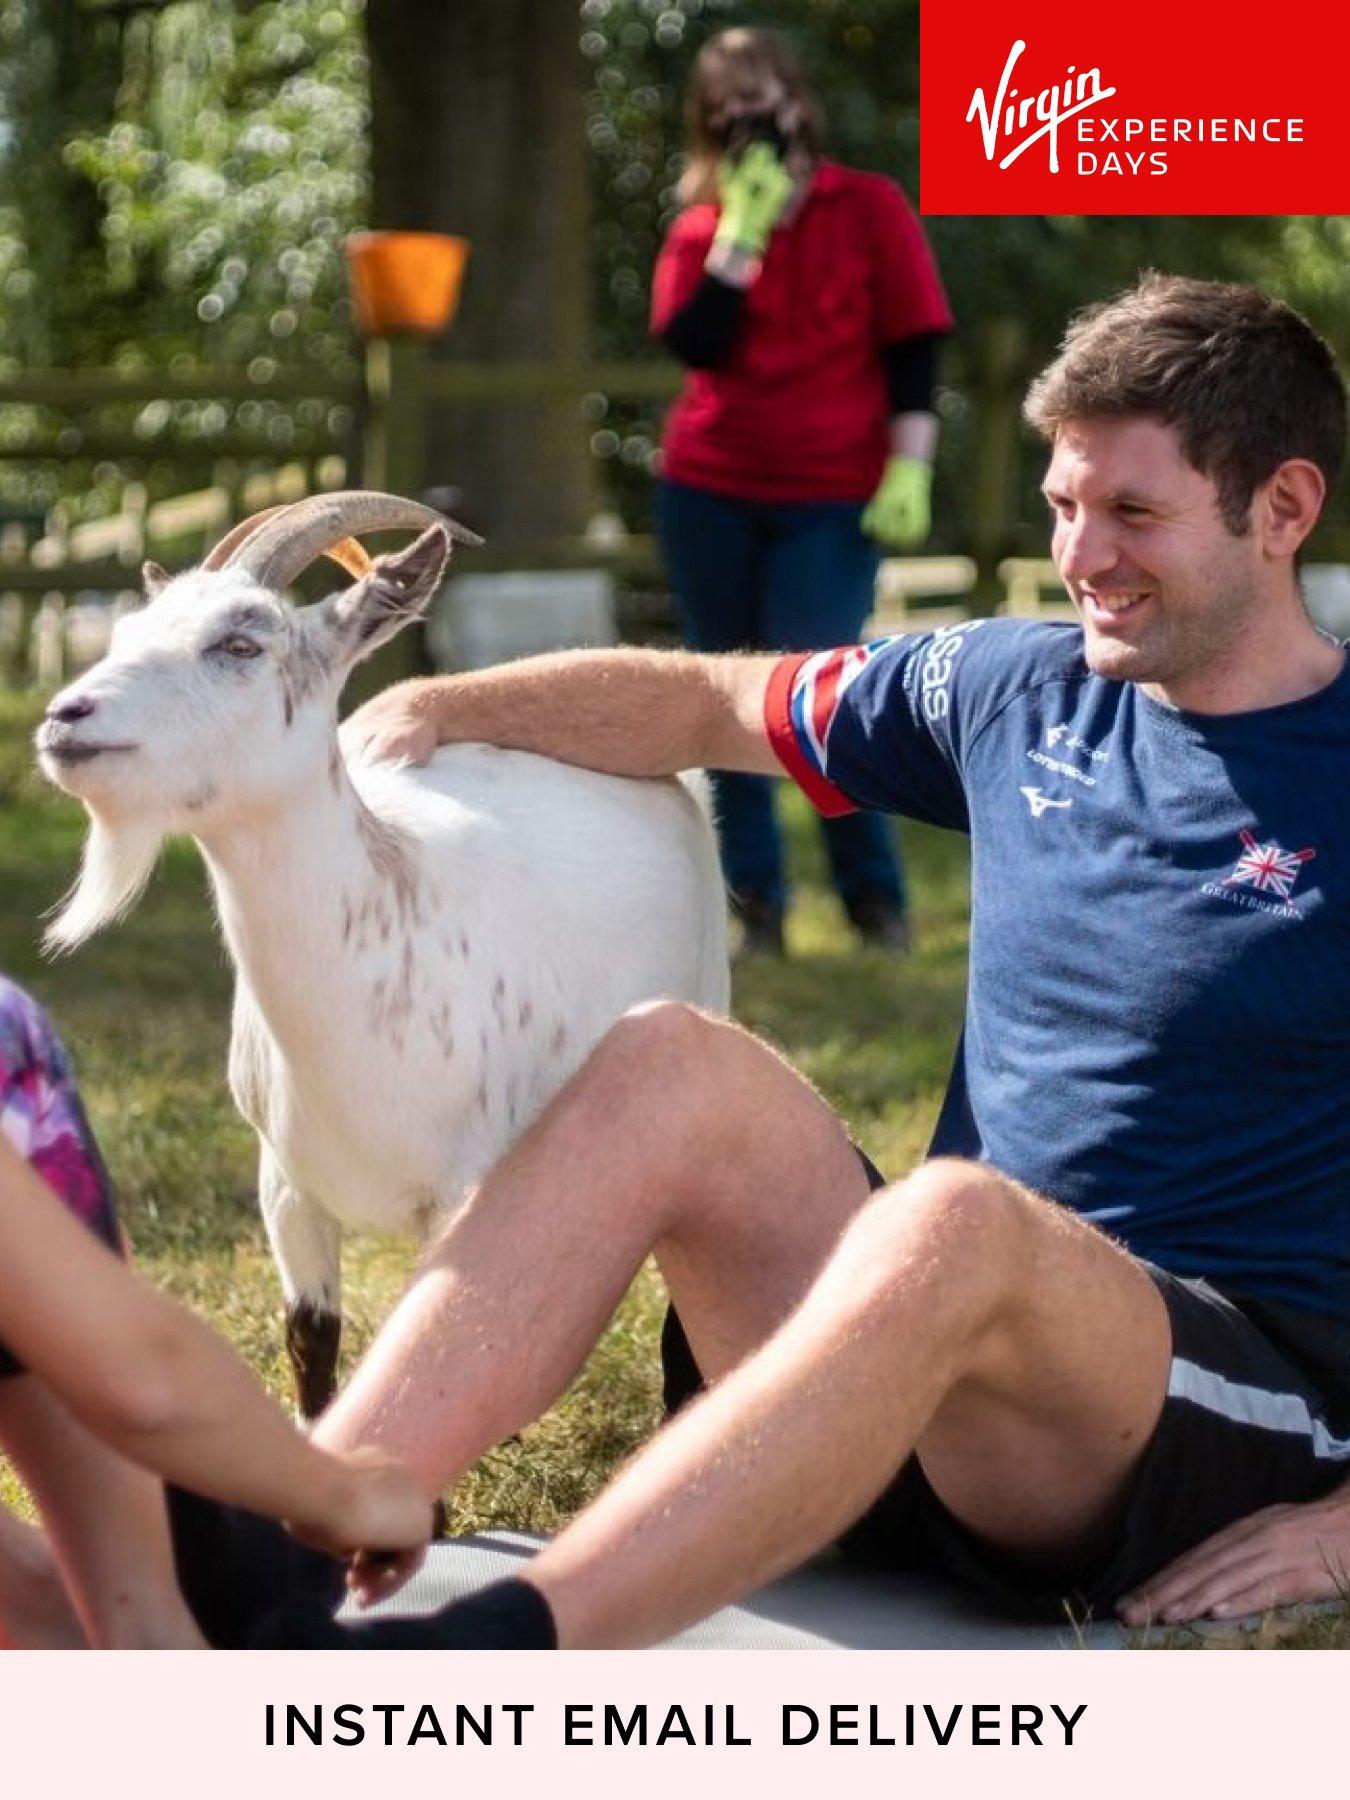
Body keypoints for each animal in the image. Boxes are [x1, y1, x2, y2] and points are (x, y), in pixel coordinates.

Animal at [35, 492, 729, 1416]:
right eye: (124, 634)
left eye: (241, 643)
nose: (64, 718)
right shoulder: (285, 1187)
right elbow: (312, 1341)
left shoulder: (461, 1195)